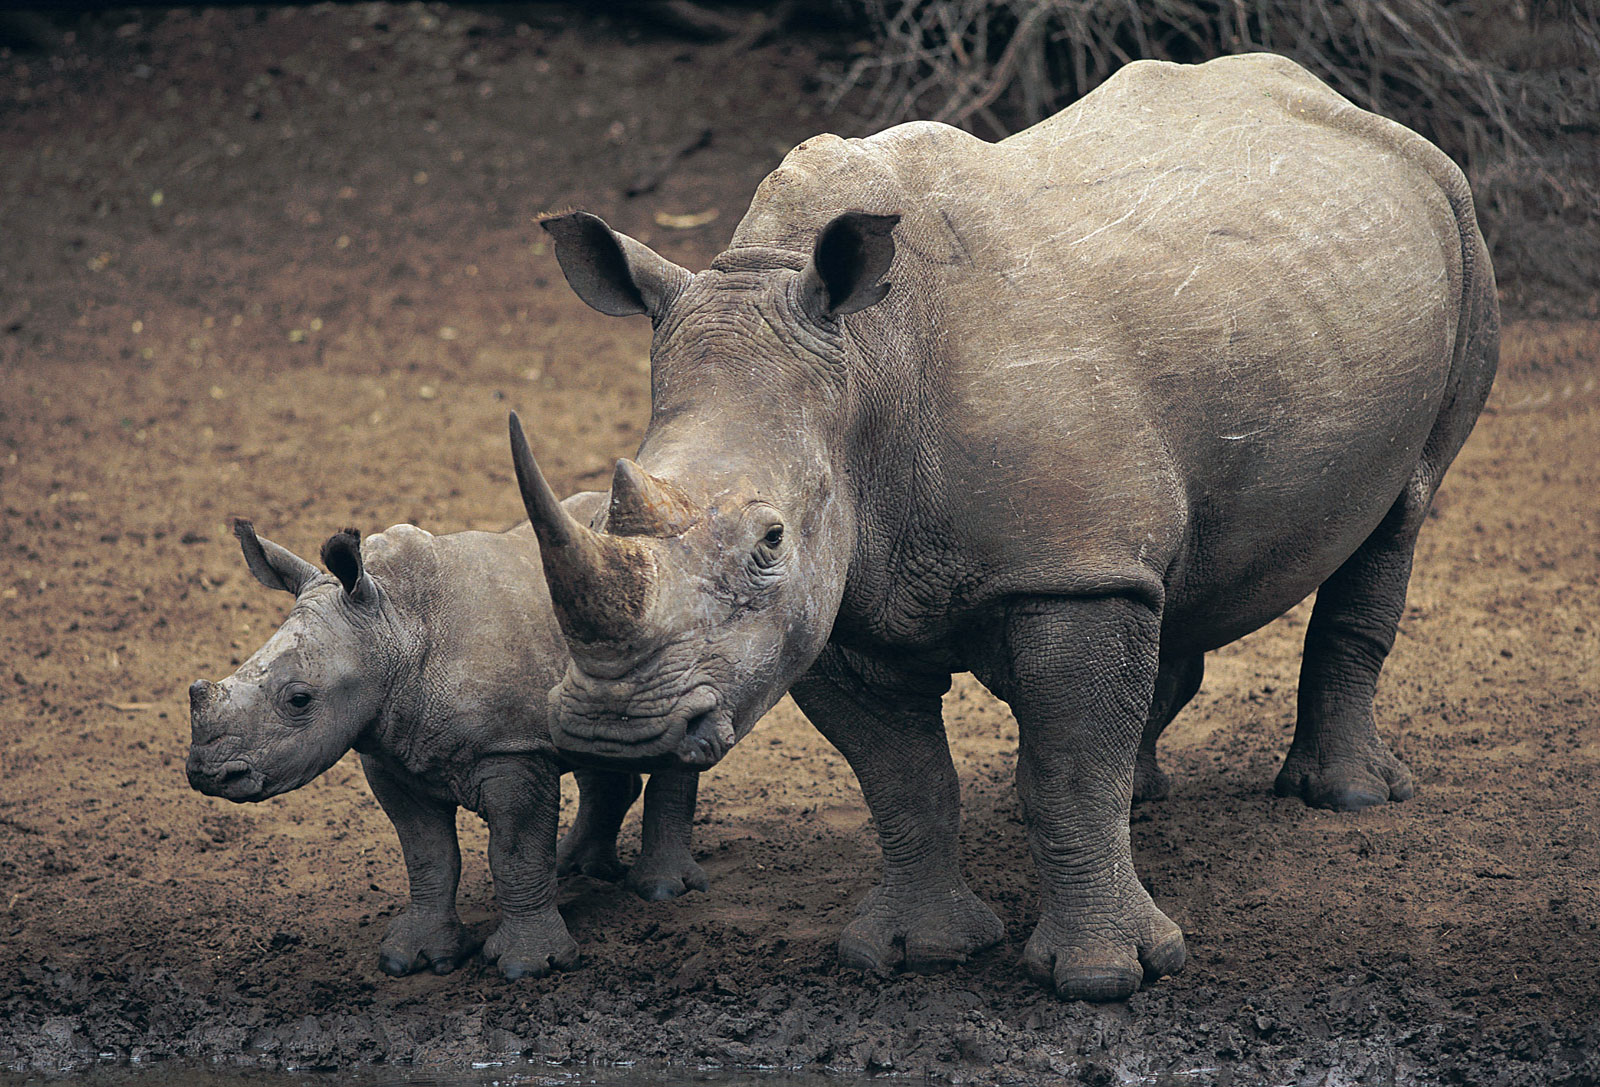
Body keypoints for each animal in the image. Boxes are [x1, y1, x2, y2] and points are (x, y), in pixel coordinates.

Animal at [185, 498, 708, 979]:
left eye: (299, 700)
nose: (209, 774)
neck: (393, 625)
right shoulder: (390, 754)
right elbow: (428, 855)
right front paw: (410, 959)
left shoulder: (512, 749)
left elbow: (515, 853)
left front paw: (527, 967)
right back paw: (573, 868)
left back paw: (660, 890)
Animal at [509, 53, 1499, 1001]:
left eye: (768, 542)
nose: (613, 726)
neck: (867, 371)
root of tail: (1351, 106)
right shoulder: (838, 602)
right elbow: (904, 778)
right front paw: (921, 949)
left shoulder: (1064, 566)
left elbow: (1068, 772)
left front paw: (1105, 978)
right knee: (1164, 579)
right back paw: (1145, 795)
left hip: (1460, 225)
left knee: (1402, 510)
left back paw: (1346, 799)